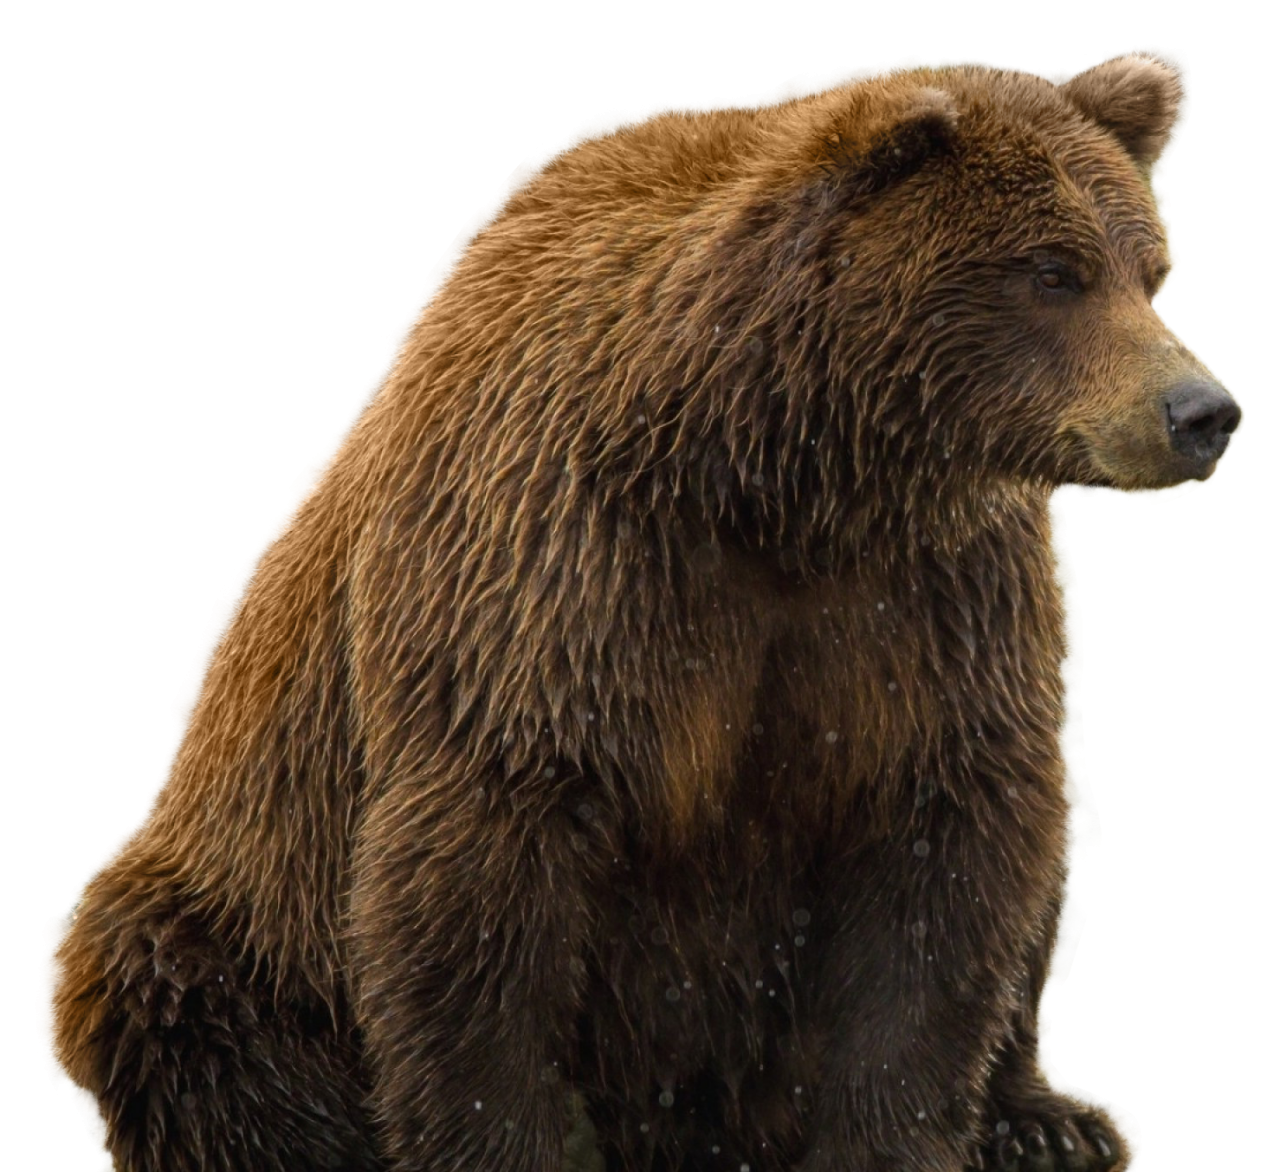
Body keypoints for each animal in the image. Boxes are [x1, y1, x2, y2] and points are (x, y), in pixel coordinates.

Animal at [39, 53, 1240, 1172]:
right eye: (1052, 269)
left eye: (1150, 270)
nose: (1201, 412)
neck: (781, 474)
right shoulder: (555, 579)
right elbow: (483, 892)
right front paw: (503, 1142)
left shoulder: (927, 603)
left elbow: (944, 856)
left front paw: (895, 1136)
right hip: (231, 908)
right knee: (173, 1000)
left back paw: (1054, 1115)